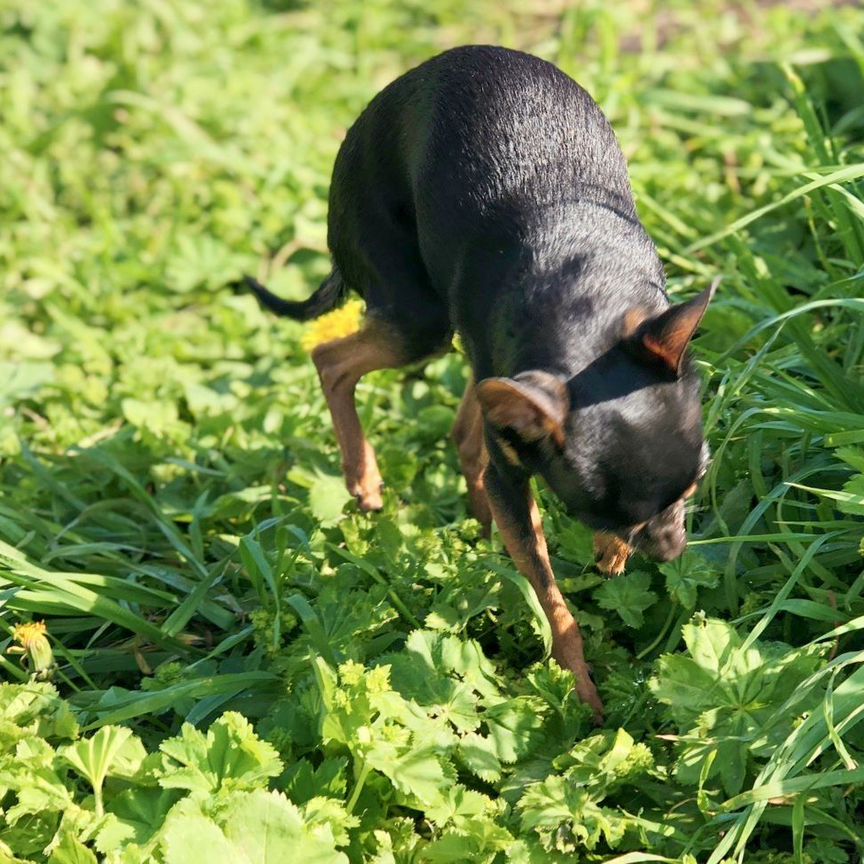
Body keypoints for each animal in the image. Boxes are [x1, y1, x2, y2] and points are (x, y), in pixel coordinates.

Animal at [245, 49, 716, 724]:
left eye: (699, 480)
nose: (674, 549)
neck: (582, 305)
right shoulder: (515, 473)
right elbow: (557, 609)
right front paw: (584, 700)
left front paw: (611, 554)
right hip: (418, 319)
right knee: (330, 358)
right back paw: (364, 477)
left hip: (454, 339)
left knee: (462, 427)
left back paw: (472, 518)